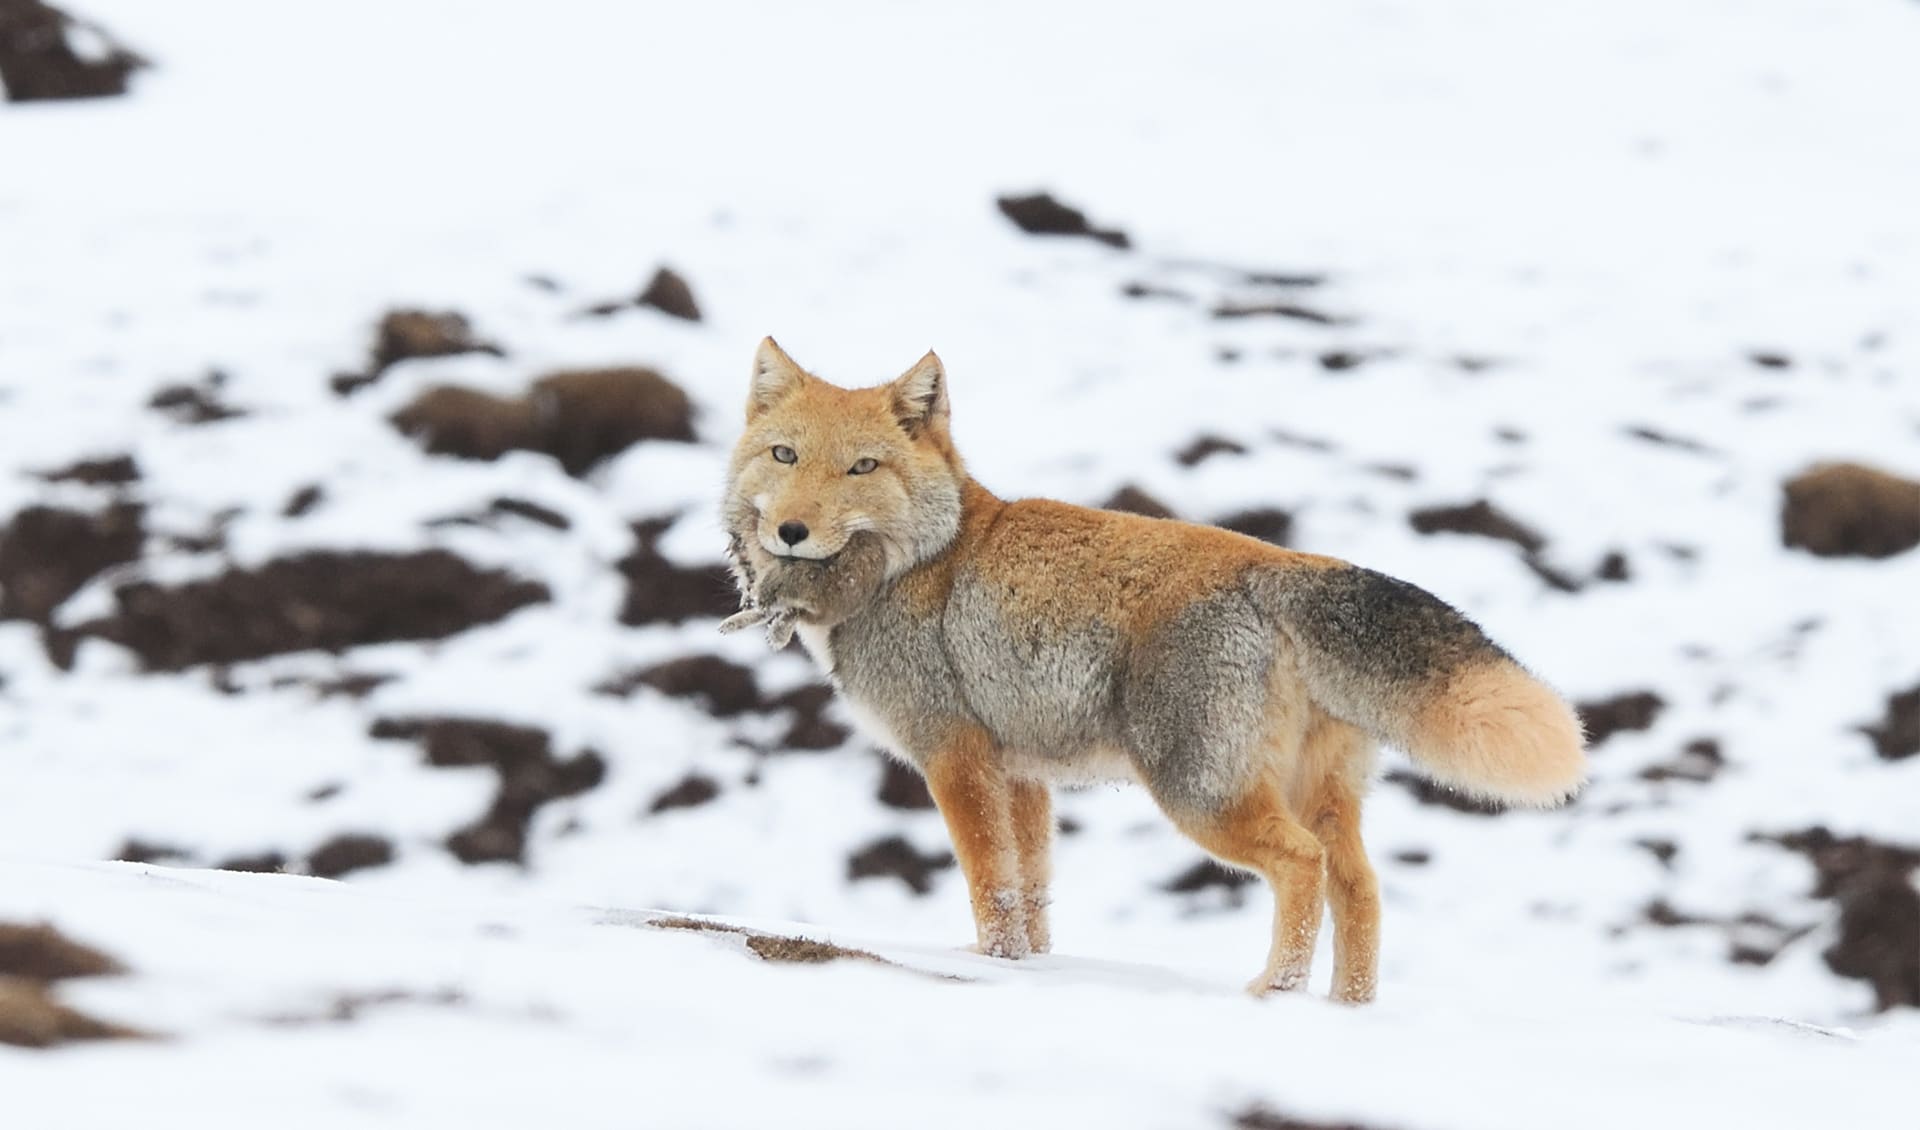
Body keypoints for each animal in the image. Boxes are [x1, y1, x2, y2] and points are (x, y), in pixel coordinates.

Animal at [722, 338, 1587, 1003]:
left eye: (862, 468)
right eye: (785, 455)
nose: (792, 532)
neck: (921, 562)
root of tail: (1280, 561)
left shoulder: (955, 758)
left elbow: (990, 887)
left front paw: (994, 968)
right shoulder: (1021, 775)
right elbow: (1031, 897)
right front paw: (1029, 970)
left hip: (1201, 794)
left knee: (1301, 866)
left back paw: (1274, 993)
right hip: (1315, 796)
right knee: (1361, 890)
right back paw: (1346, 1010)